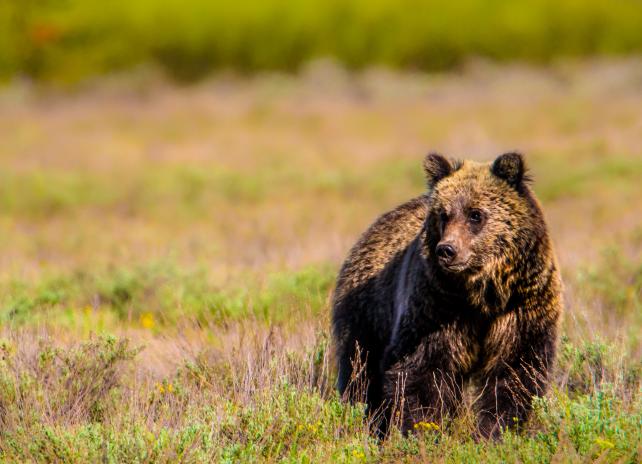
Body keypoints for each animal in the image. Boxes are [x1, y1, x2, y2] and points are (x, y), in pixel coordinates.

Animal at [331, 152, 562, 439]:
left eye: (476, 214)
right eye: (444, 214)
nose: (447, 250)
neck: (483, 296)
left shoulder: (521, 308)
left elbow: (515, 369)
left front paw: (494, 431)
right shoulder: (436, 308)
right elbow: (421, 370)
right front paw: (421, 429)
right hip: (368, 312)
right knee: (361, 370)